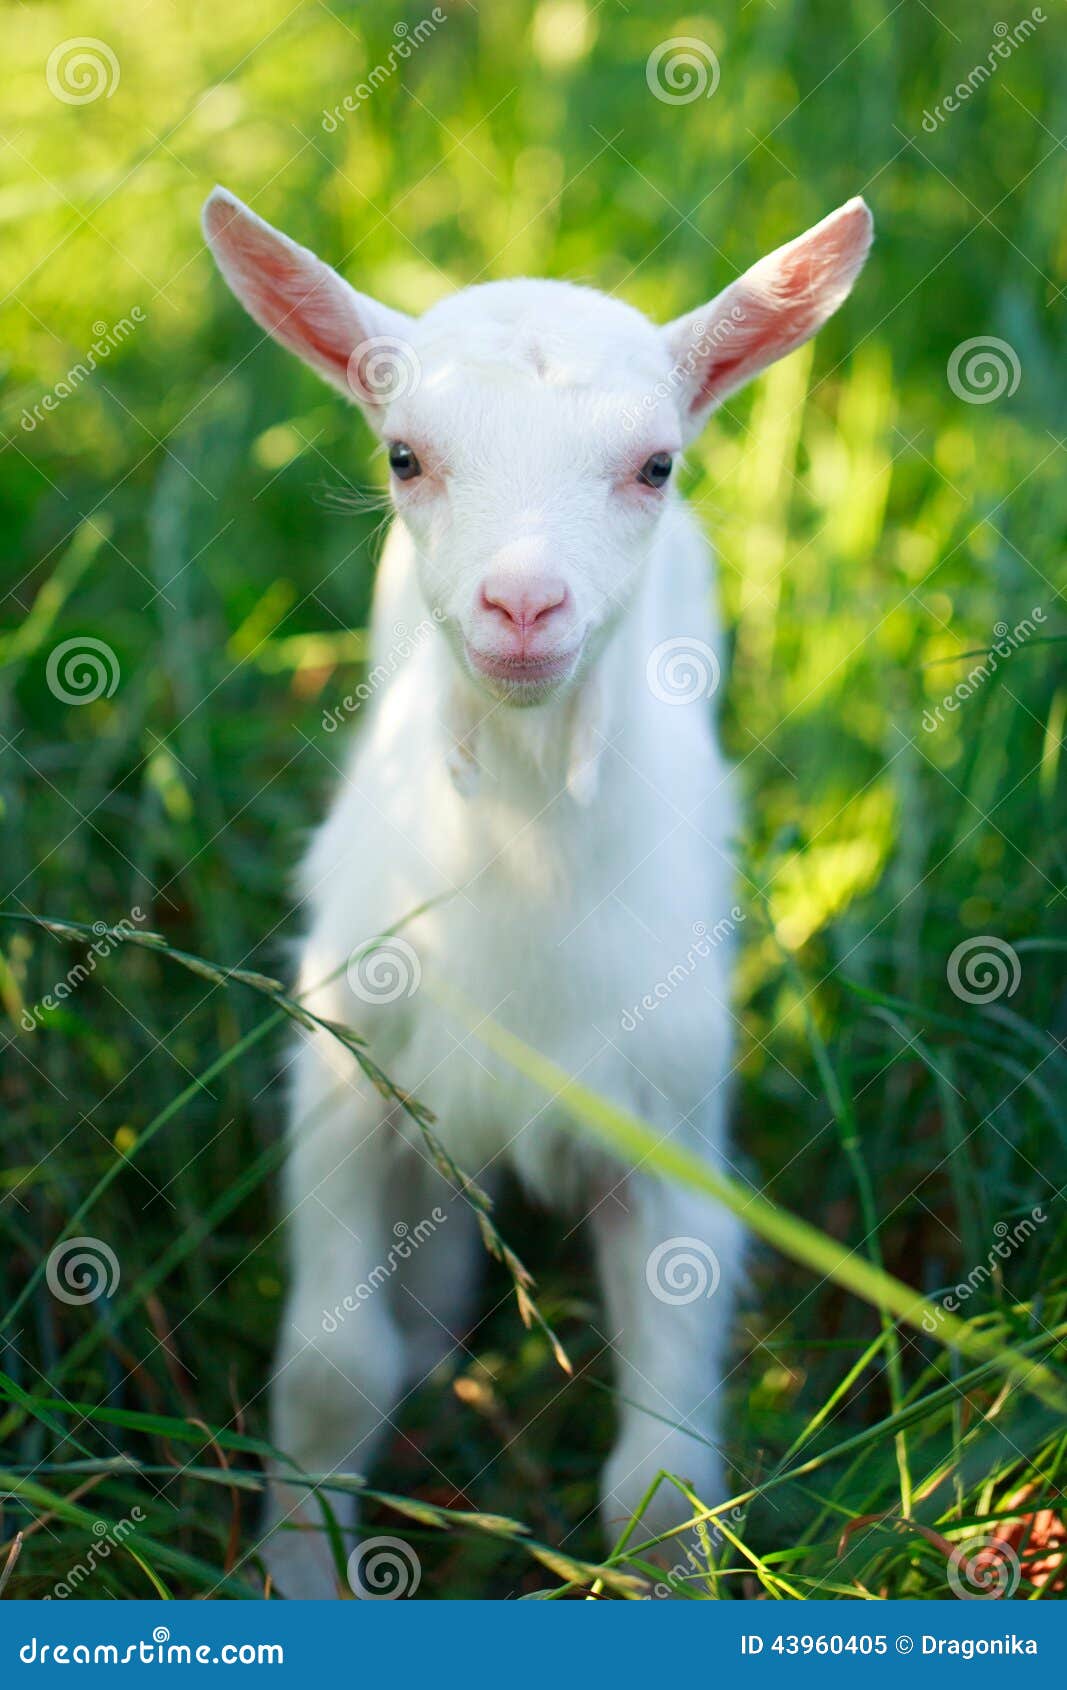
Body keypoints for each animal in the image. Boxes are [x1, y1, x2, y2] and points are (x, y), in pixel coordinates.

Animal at [203, 187, 873, 1598]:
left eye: (656, 466)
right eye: (404, 455)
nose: (521, 604)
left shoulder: (672, 1135)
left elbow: (662, 1485)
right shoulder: (342, 1075)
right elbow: (331, 1370)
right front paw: (300, 1568)